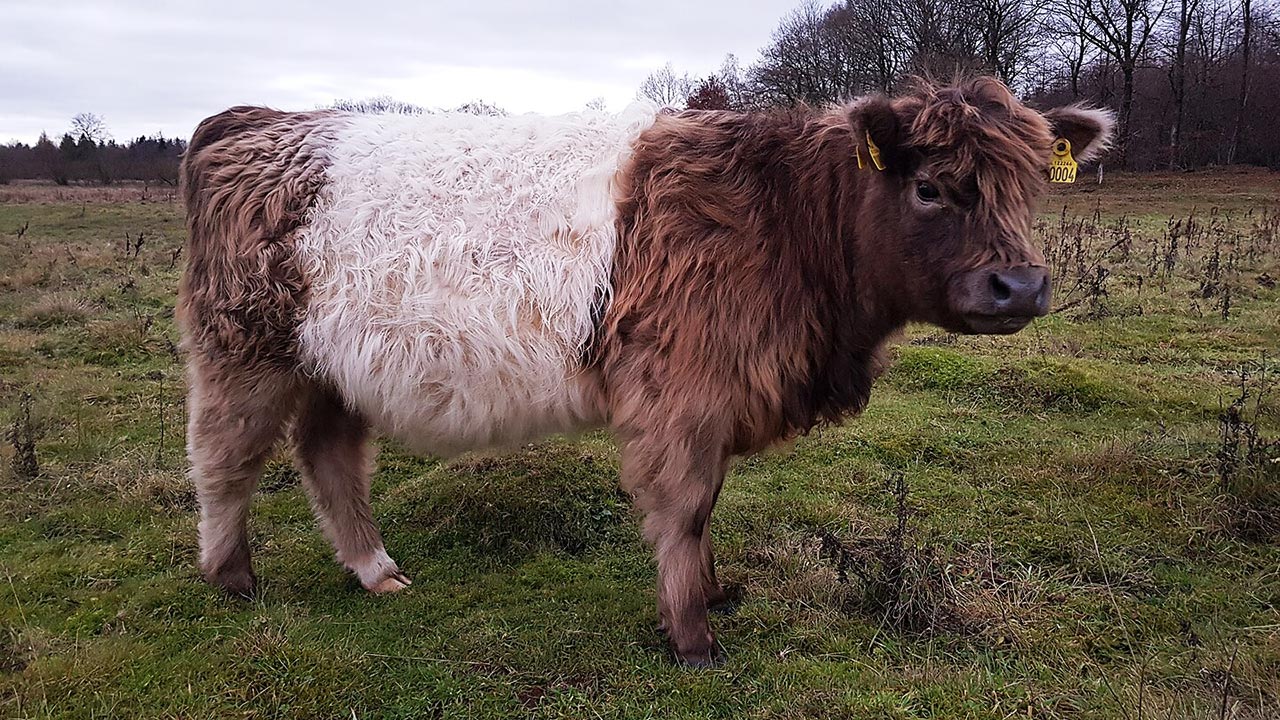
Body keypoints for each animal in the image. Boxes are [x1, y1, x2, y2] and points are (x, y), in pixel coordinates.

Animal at [178, 76, 1112, 667]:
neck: (786, 218)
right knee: (224, 459)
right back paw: (231, 578)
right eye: (929, 190)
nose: (1020, 286)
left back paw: (374, 570)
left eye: (1031, 185)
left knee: (329, 458)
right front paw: (692, 636)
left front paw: (714, 596)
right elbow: (686, 509)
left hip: (337, 365)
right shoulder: (682, 394)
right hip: (245, 353)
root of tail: (261, 123)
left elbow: (708, 508)